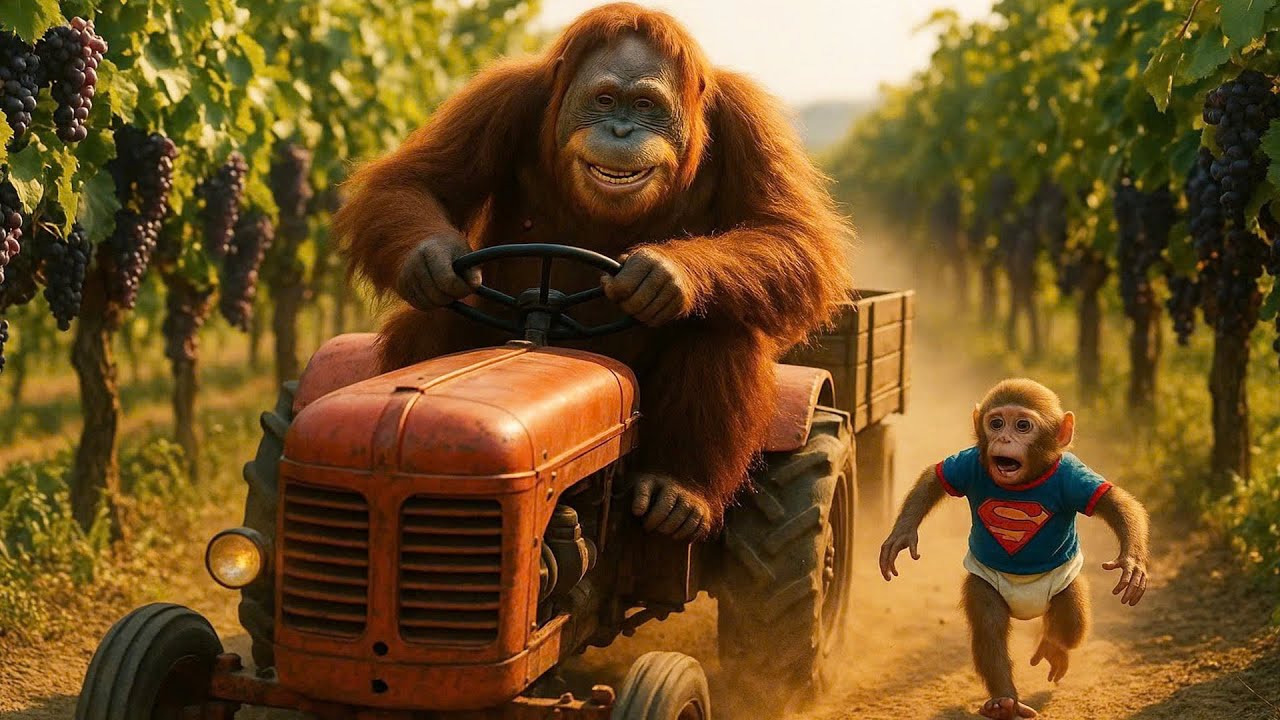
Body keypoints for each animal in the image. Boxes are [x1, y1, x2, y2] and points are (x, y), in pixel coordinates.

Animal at [879, 378, 1150, 719]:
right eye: (996, 423)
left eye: (1022, 425)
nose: (1004, 437)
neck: (1025, 482)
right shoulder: (971, 463)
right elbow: (934, 478)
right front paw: (902, 533)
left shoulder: (1072, 477)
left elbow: (1115, 502)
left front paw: (1133, 562)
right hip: (987, 584)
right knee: (988, 626)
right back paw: (1005, 701)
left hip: (1063, 584)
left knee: (1070, 620)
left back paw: (1054, 650)